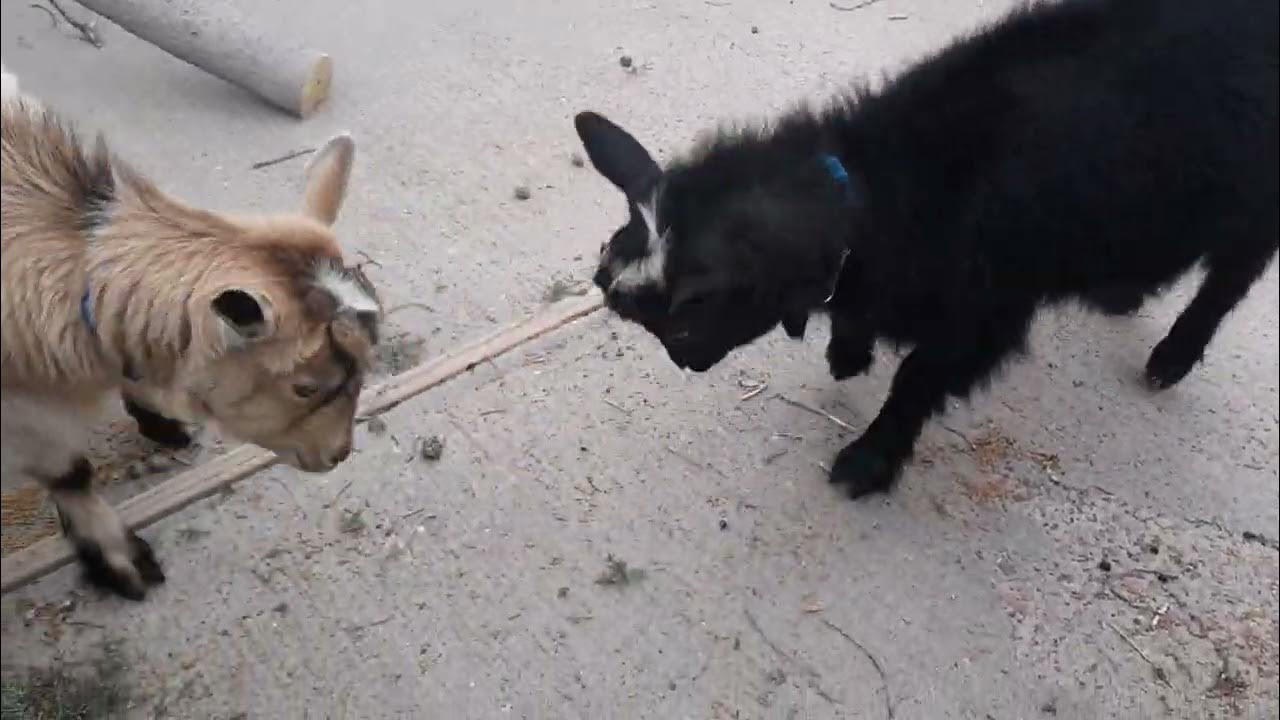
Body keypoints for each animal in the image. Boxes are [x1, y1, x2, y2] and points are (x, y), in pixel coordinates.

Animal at [1, 63, 382, 599]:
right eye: (304, 387)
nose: (338, 454)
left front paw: (161, 421)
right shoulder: (22, 412)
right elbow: (70, 471)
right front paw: (120, 560)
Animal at [574, 0, 1278, 499]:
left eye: (686, 327)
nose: (686, 365)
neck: (885, 187)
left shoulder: (985, 316)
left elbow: (916, 379)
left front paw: (867, 462)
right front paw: (847, 355)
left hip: (1255, 207)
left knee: (1230, 278)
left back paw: (1172, 357)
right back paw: (1119, 292)